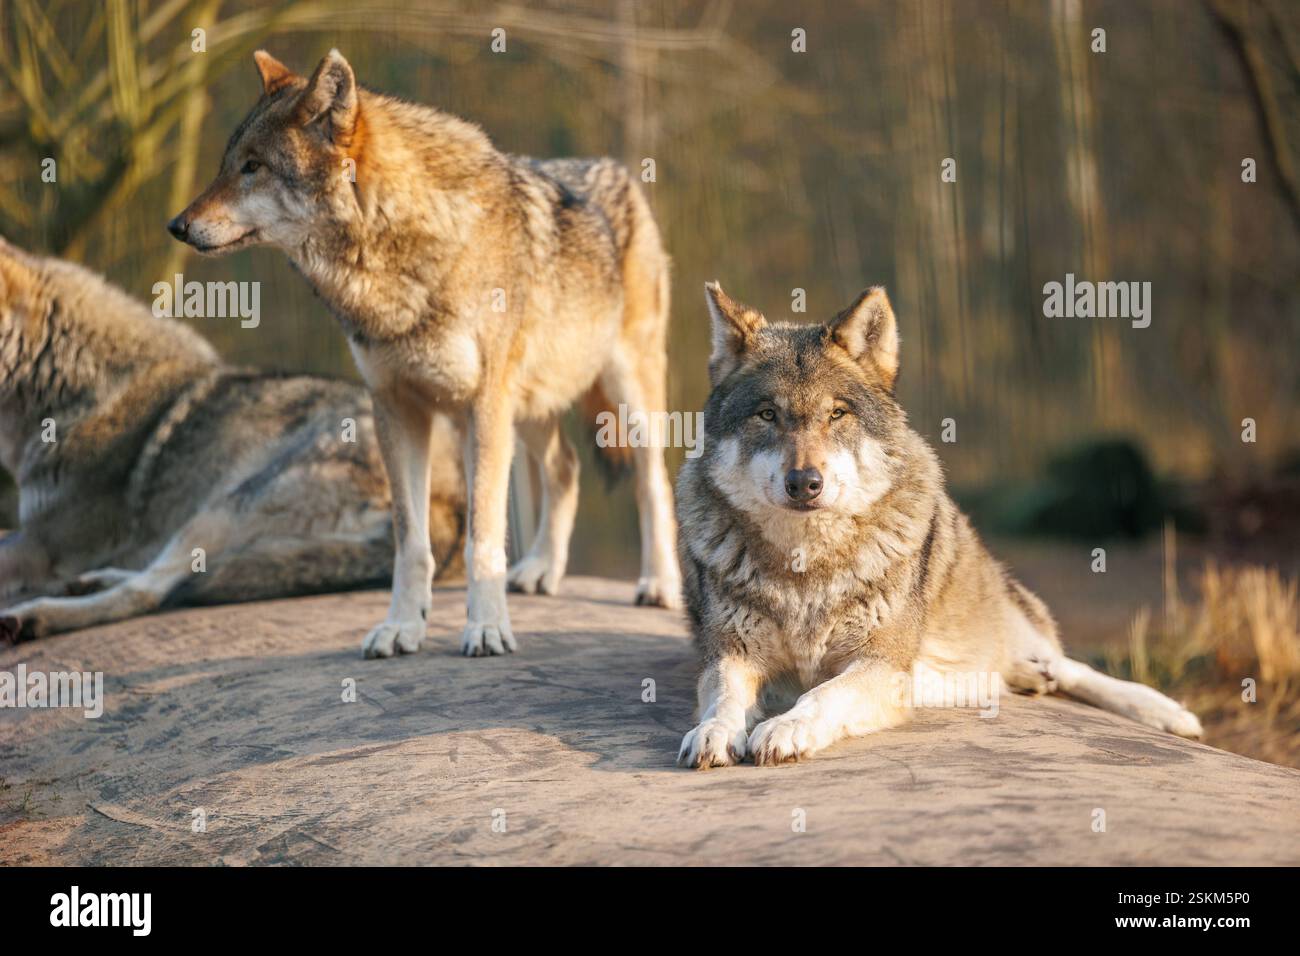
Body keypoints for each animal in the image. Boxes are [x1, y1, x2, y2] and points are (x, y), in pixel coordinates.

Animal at [0, 237, 464, 642]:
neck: (72, 386)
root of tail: (450, 500)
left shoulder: (41, 545)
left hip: (226, 505)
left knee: (152, 591)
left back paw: (33, 617)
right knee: (166, 577)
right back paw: (92, 581)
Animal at [167, 49, 682, 659]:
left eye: (253, 167)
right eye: (227, 164)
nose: (176, 225)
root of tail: (616, 168)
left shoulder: (484, 407)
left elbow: (483, 535)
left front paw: (486, 628)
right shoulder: (398, 407)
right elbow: (410, 541)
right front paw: (402, 627)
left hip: (623, 397)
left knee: (653, 484)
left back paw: (659, 584)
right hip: (530, 405)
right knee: (566, 467)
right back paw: (541, 570)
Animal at [675, 282, 1202, 768]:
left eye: (837, 413)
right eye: (767, 414)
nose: (804, 483)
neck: (805, 566)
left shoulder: (879, 661)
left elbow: (821, 694)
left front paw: (786, 728)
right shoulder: (731, 654)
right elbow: (723, 697)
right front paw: (713, 732)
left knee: (1068, 664)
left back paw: (1165, 711)